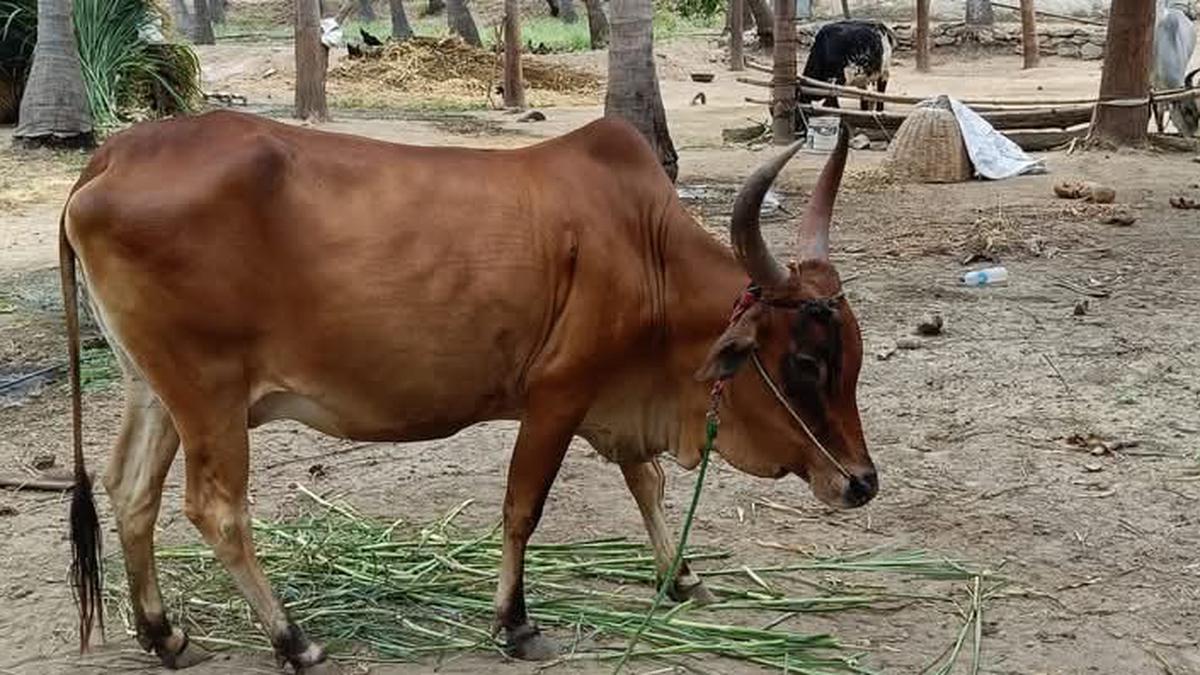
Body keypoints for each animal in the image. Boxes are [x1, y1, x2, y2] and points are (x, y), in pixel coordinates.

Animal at [60, 111, 876, 673]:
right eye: (806, 362)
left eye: (853, 359)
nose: (863, 483)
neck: (644, 250)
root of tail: (109, 158)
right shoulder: (558, 395)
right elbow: (523, 509)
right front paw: (515, 622)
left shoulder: (612, 403)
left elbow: (646, 483)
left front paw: (681, 576)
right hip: (210, 394)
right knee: (216, 509)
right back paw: (294, 639)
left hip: (156, 391)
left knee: (131, 491)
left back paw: (165, 633)